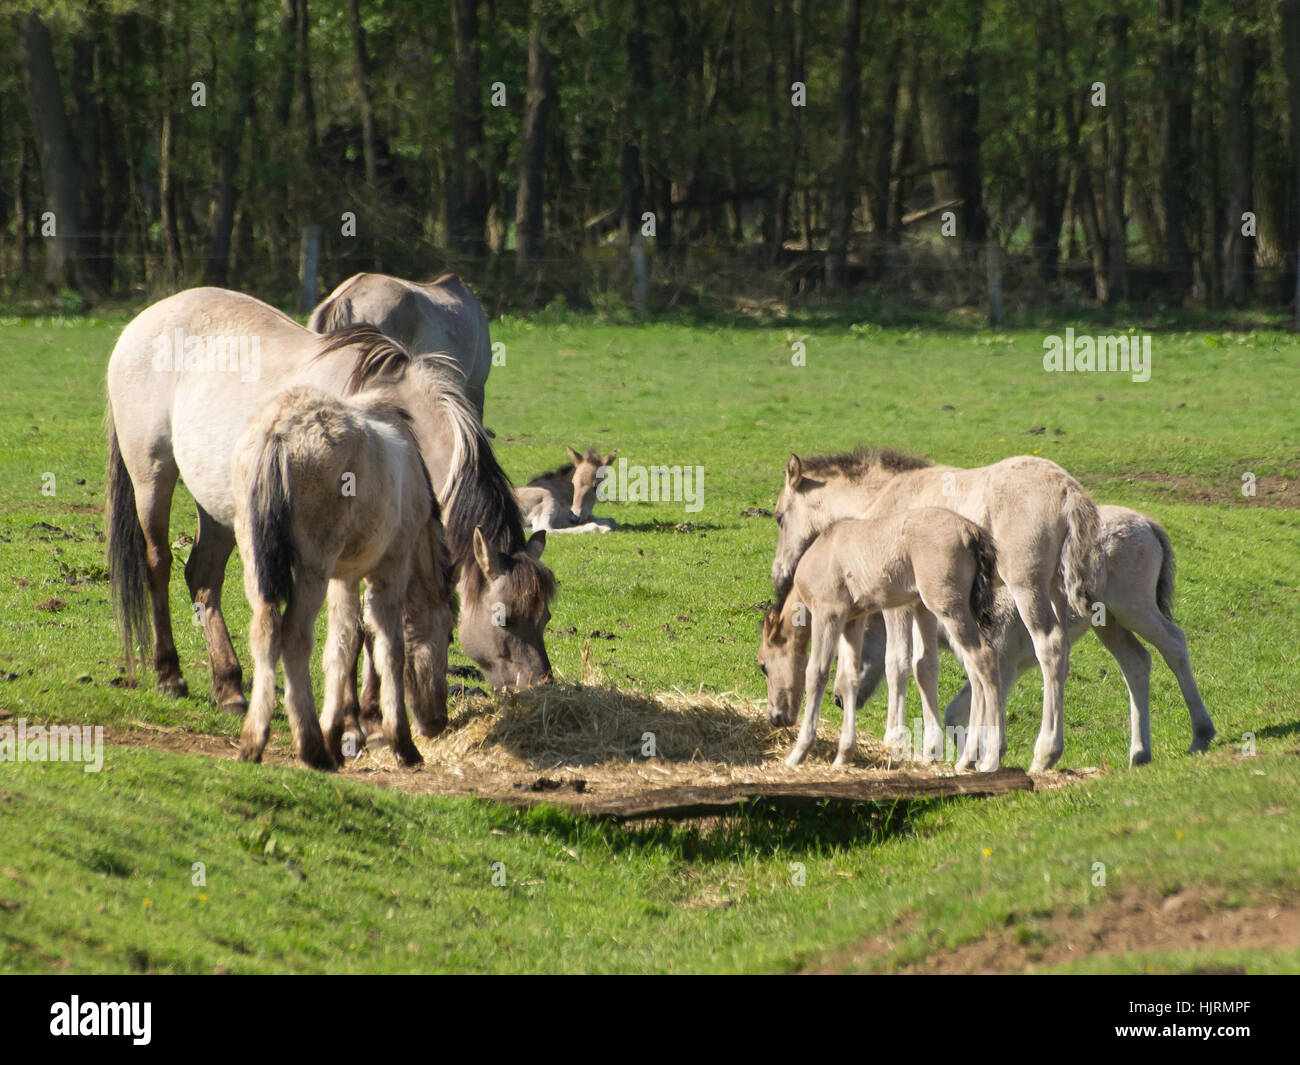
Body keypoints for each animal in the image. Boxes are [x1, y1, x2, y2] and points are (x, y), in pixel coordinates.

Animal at [106, 288, 554, 722]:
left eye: (544, 617)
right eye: (504, 619)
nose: (539, 687)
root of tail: (143, 321)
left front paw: (373, 711)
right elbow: (354, 629)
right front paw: (353, 715)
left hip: (220, 505)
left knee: (203, 578)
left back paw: (230, 687)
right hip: (152, 476)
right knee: (158, 564)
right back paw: (170, 676)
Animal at [232, 386, 450, 769]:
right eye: (450, 633)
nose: (439, 721)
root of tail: (278, 431)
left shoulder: (344, 578)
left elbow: (343, 643)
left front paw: (334, 733)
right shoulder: (390, 568)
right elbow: (390, 648)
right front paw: (402, 741)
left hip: (254, 561)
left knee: (265, 631)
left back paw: (254, 741)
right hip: (312, 567)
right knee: (295, 637)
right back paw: (311, 747)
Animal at [759, 508, 1004, 772]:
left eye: (763, 666)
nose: (775, 717)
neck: (823, 550)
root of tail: (971, 531)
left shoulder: (828, 613)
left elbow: (816, 674)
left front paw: (798, 753)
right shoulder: (853, 620)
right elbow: (849, 678)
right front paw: (843, 755)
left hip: (948, 607)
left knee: (984, 657)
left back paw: (990, 758)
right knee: (973, 670)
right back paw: (966, 759)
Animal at [833, 504, 1215, 766]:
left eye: (861, 647)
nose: (837, 698)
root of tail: (1147, 523)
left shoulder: (1002, 658)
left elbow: (972, 703)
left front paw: (986, 757)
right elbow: (962, 710)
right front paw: (976, 758)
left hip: (1135, 607)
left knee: (1174, 645)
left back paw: (1201, 735)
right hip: (1108, 622)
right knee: (1136, 663)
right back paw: (1138, 753)